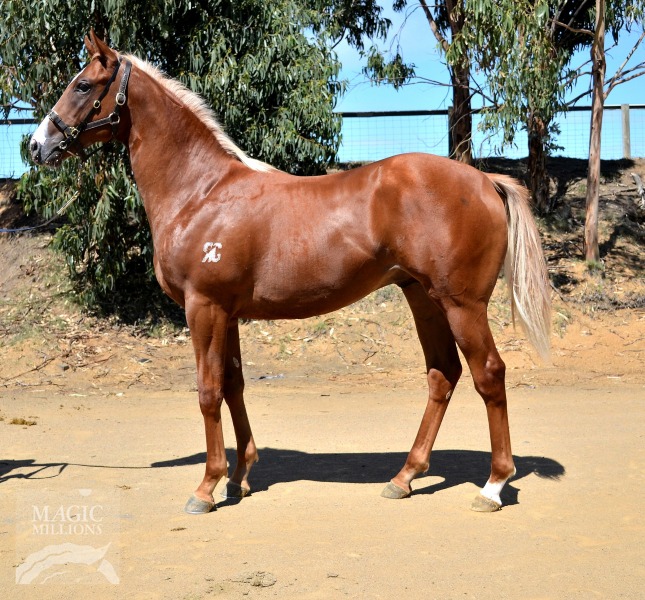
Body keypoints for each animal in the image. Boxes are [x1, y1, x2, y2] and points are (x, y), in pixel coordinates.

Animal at [29, 31, 551, 514]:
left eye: (83, 84)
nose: (37, 145)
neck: (201, 192)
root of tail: (484, 180)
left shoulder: (204, 307)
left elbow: (208, 391)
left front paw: (207, 487)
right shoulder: (228, 313)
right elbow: (234, 385)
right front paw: (239, 477)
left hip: (462, 304)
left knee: (489, 374)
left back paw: (493, 486)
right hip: (423, 297)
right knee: (443, 374)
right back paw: (404, 477)